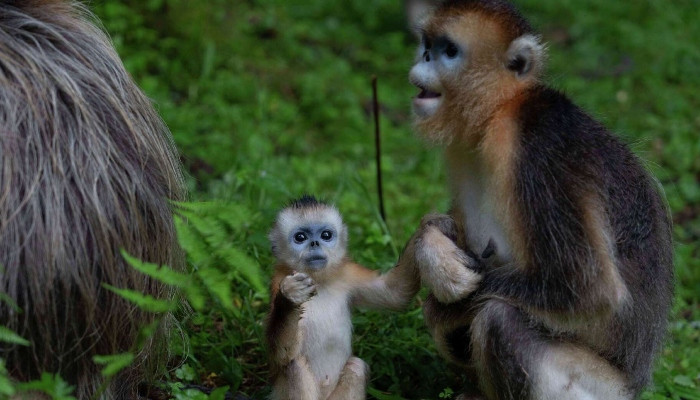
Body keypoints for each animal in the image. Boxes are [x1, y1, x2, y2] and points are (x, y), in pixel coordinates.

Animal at [266, 196, 420, 400]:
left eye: (326, 235)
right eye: (300, 237)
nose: (315, 243)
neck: (319, 281)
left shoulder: (347, 274)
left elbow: (394, 294)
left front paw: (429, 229)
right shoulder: (278, 281)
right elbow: (282, 356)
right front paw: (291, 297)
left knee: (357, 367)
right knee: (295, 365)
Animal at [403, 1, 674, 399]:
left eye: (448, 51)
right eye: (427, 45)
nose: (423, 58)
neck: (501, 110)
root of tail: (634, 384)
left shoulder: (536, 145)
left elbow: (590, 291)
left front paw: (441, 311)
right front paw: (433, 248)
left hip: (596, 387)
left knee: (500, 318)